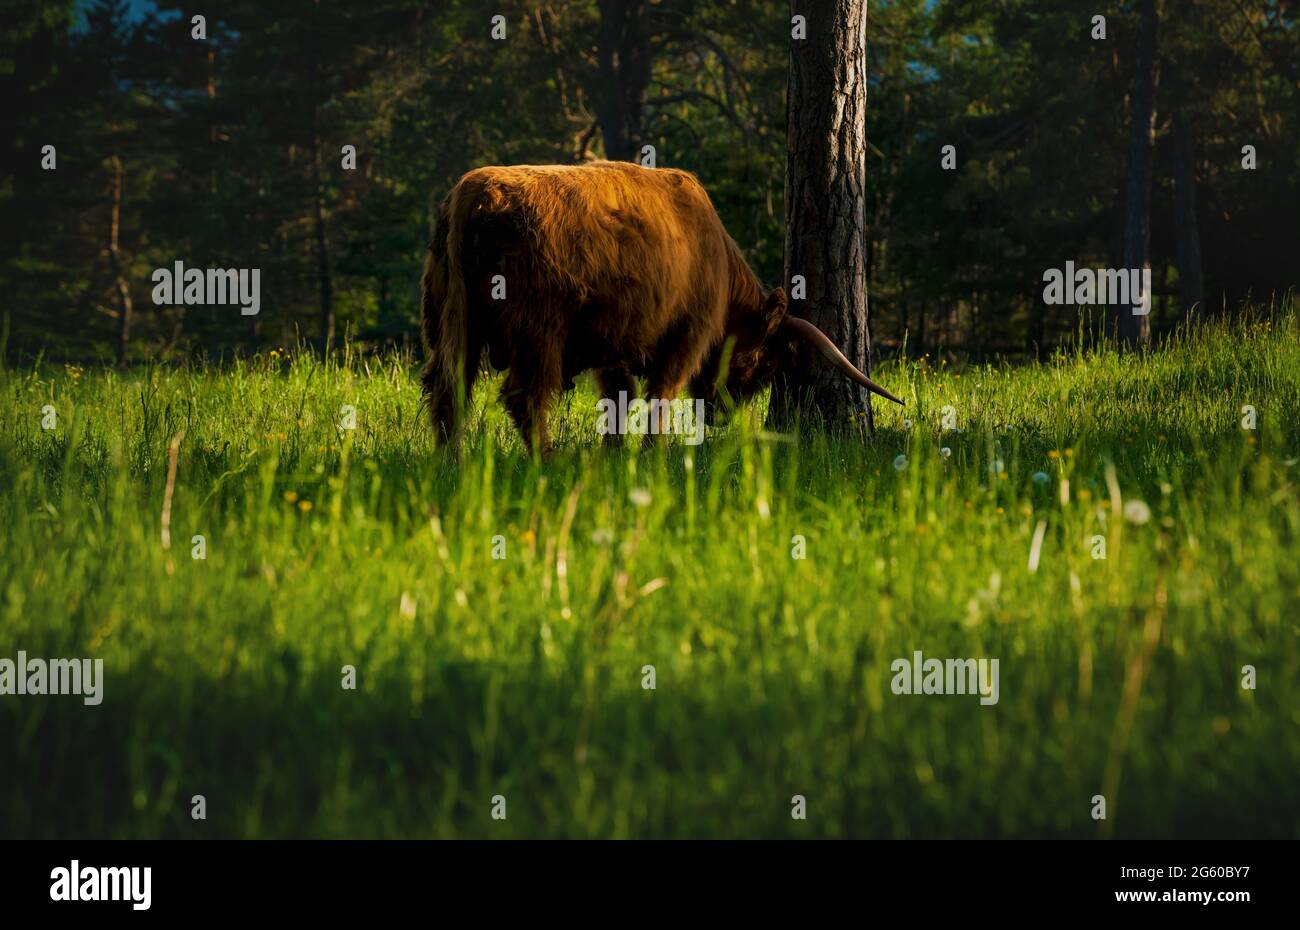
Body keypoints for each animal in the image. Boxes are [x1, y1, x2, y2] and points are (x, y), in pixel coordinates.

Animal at [420, 160, 901, 454]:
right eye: (764, 365)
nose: (723, 415)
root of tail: (475, 192)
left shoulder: (613, 343)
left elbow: (620, 398)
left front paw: (614, 454)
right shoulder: (687, 336)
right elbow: (660, 396)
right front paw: (655, 454)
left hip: (450, 322)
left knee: (447, 388)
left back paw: (450, 461)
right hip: (539, 330)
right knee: (525, 394)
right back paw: (548, 461)